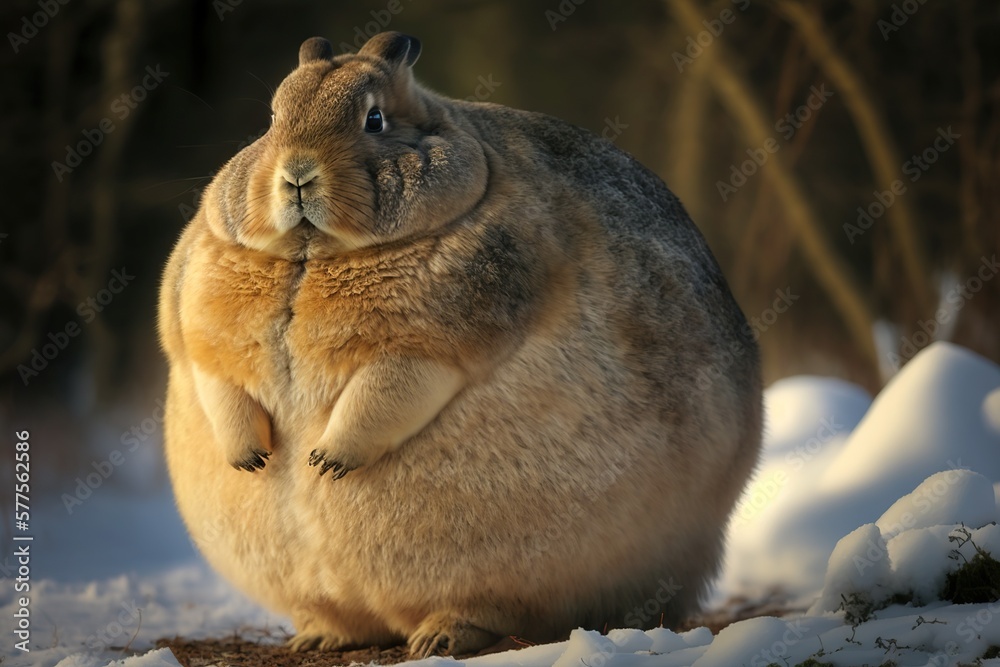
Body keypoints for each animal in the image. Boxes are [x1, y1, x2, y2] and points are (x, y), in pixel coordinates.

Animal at [159, 31, 763, 658]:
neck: (312, 255)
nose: (297, 174)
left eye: (374, 119)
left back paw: (441, 635)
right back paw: (320, 636)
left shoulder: (429, 350)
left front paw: (327, 460)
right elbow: (219, 386)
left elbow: (382, 397)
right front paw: (250, 458)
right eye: (274, 117)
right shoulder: (199, 343)